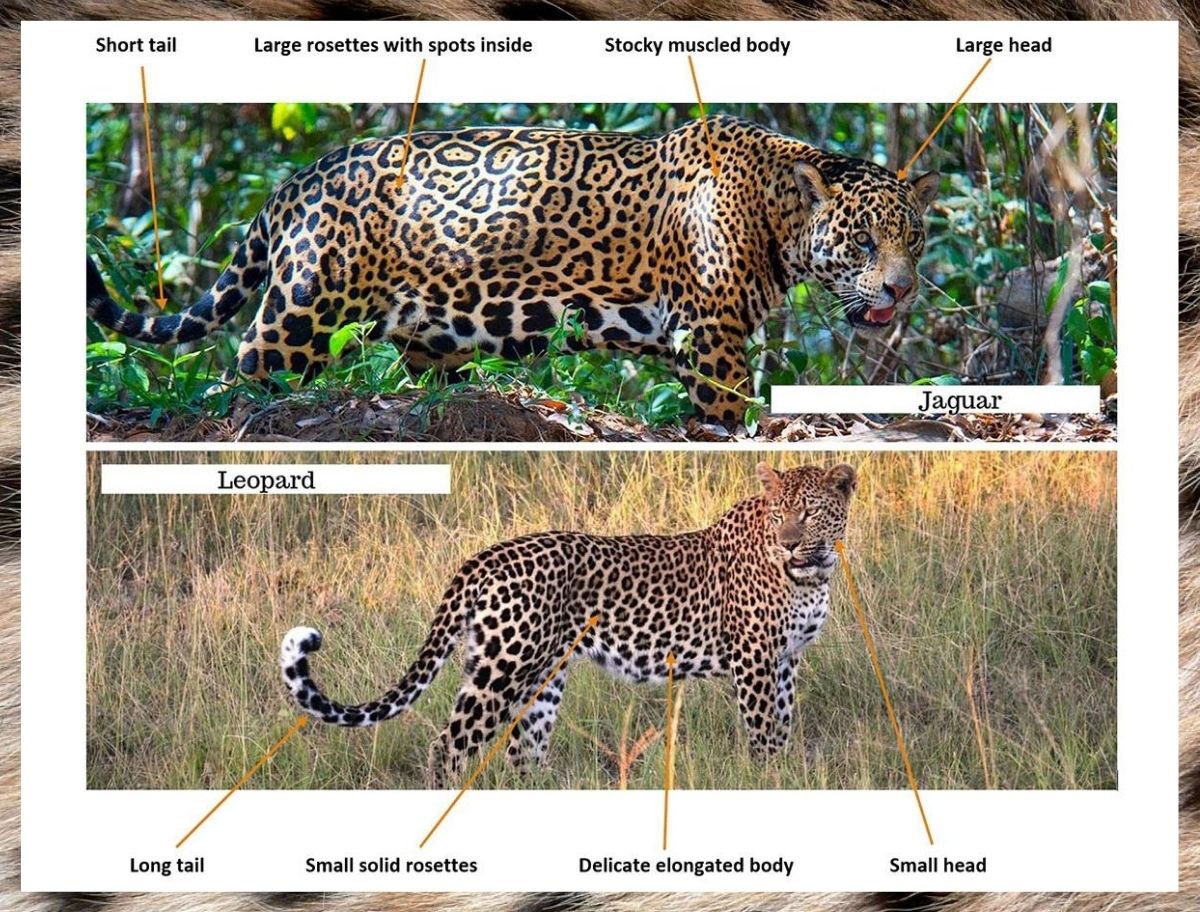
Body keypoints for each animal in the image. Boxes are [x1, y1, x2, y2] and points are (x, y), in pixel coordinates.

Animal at [86, 114, 939, 426]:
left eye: (917, 240)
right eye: (865, 244)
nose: (899, 290)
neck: (777, 212)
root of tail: (294, 181)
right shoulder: (713, 330)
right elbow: (727, 410)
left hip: (431, 326)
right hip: (304, 305)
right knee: (247, 364)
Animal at [279, 461, 856, 786]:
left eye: (808, 513)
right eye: (780, 512)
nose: (788, 542)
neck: (813, 572)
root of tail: (483, 557)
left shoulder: (786, 659)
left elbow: (783, 724)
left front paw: (784, 773)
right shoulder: (755, 658)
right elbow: (763, 731)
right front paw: (767, 779)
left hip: (541, 676)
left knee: (523, 753)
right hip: (503, 669)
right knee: (450, 746)